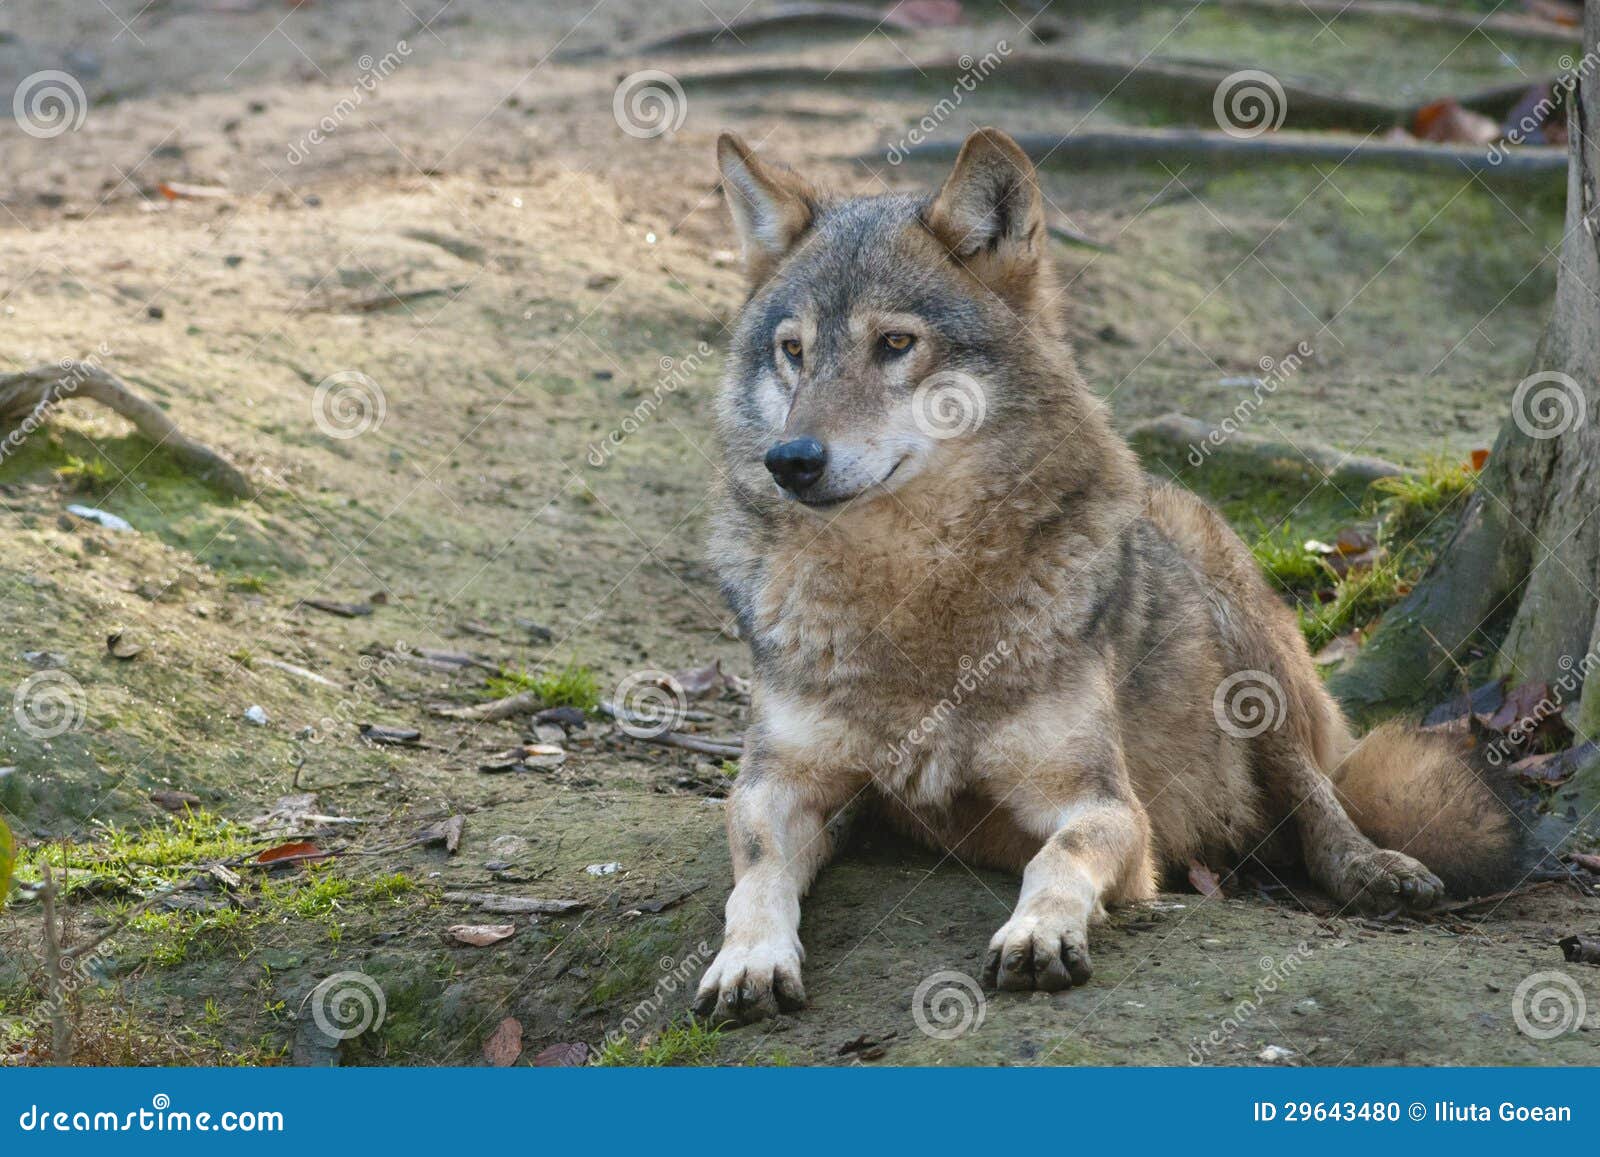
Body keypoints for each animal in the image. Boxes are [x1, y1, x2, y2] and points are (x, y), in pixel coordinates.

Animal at [693, 127, 1521, 1025]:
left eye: (895, 344)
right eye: (794, 352)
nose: (791, 460)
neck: (908, 592)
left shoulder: (1106, 803)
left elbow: (1060, 853)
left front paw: (1038, 933)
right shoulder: (779, 785)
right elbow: (755, 873)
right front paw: (748, 960)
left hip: (1246, 652)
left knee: (1316, 793)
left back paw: (1373, 869)